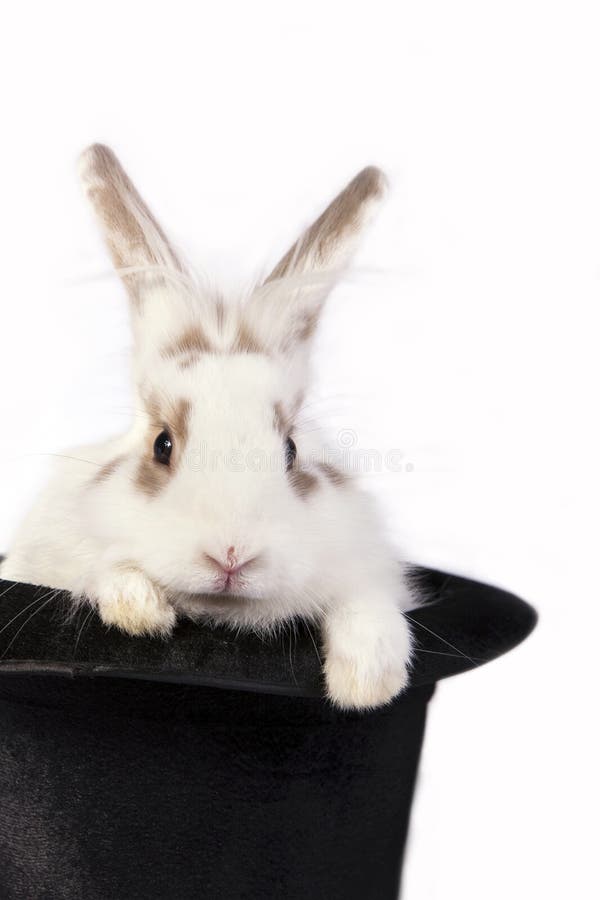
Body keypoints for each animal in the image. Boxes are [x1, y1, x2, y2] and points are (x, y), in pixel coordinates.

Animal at [0, 144, 415, 710]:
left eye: (290, 450)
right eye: (162, 444)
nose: (231, 555)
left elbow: (369, 603)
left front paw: (368, 681)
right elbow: (105, 566)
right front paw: (140, 610)